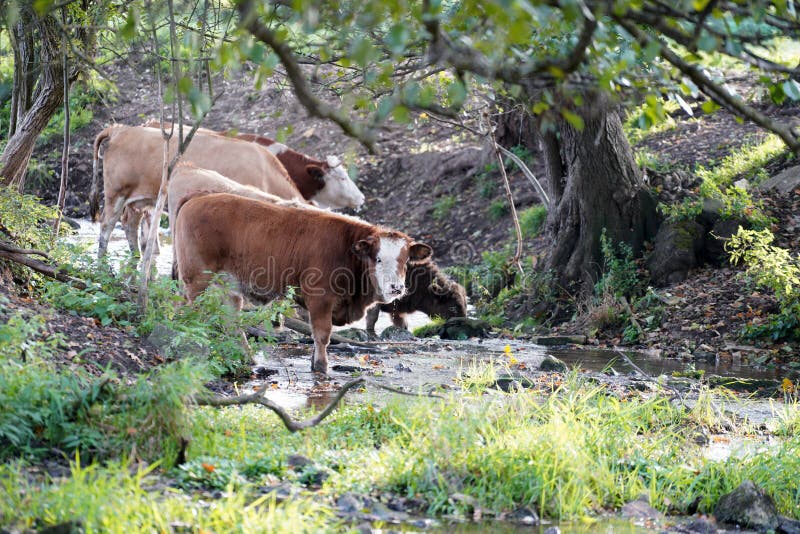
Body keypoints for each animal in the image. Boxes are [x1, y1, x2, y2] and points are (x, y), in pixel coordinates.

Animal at [89, 125, 304, 260]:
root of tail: (119, 129)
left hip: (140, 200)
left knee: (130, 223)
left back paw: (136, 258)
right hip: (116, 193)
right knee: (107, 224)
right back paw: (102, 260)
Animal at [173, 192, 432, 373]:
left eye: (405, 261)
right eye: (378, 258)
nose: (396, 288)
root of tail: (197, 198)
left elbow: (314, 334)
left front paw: (314, 362)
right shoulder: (320, 297)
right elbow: (322, 334)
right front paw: (322, 367)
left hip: (229, 287)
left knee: (230, 323)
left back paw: (248, 358)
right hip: (196, 280)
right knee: (190, 314)